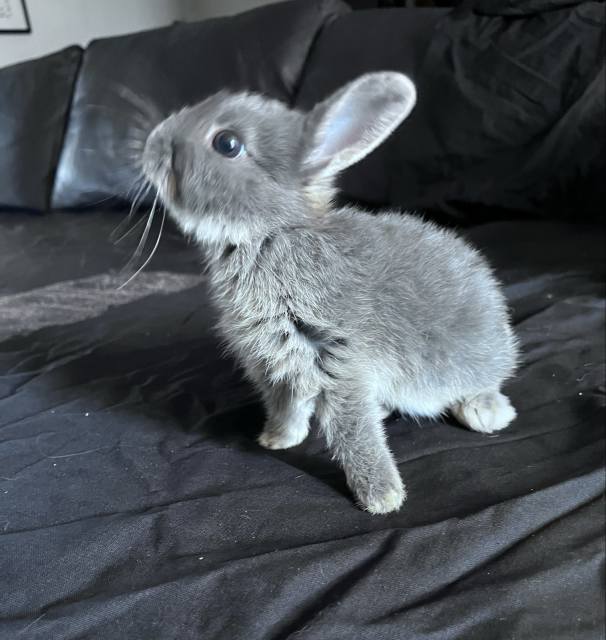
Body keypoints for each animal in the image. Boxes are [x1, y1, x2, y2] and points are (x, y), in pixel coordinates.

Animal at [141, 72, 519, 514]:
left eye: (227, 143)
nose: (152, 142)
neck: (271, 234)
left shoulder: (339, 359)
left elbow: (353, 429)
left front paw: (382, 496)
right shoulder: (274, 364)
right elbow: (286, 405)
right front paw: (277, 439)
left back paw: (486, 412)